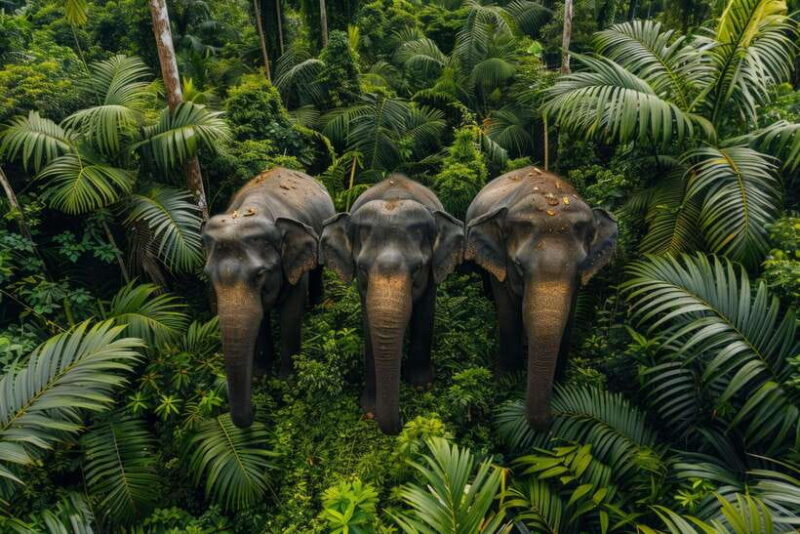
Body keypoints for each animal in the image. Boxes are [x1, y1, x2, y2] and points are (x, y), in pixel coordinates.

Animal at [202, 167, 335, 427]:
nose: (255, 408)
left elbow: (291, 314)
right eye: (209, 276)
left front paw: (286, 381)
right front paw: (262, 375)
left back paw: (317, 308)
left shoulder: (294, 265)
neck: (251, 211)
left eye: (260, 274)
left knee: (317, 270)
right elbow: (260, 318)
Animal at [320, 175, 464, 434]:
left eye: (417, 269)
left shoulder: (432, 276)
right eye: (362, 268)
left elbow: (425, 313)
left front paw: (421, 387)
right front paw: (370, 410)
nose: (404, 419)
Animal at [465, 166, 617, 429]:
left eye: (581, 268)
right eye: (519, 266)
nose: (551, 418)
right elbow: (507, 312)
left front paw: (559, 385)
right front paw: (505, 380)